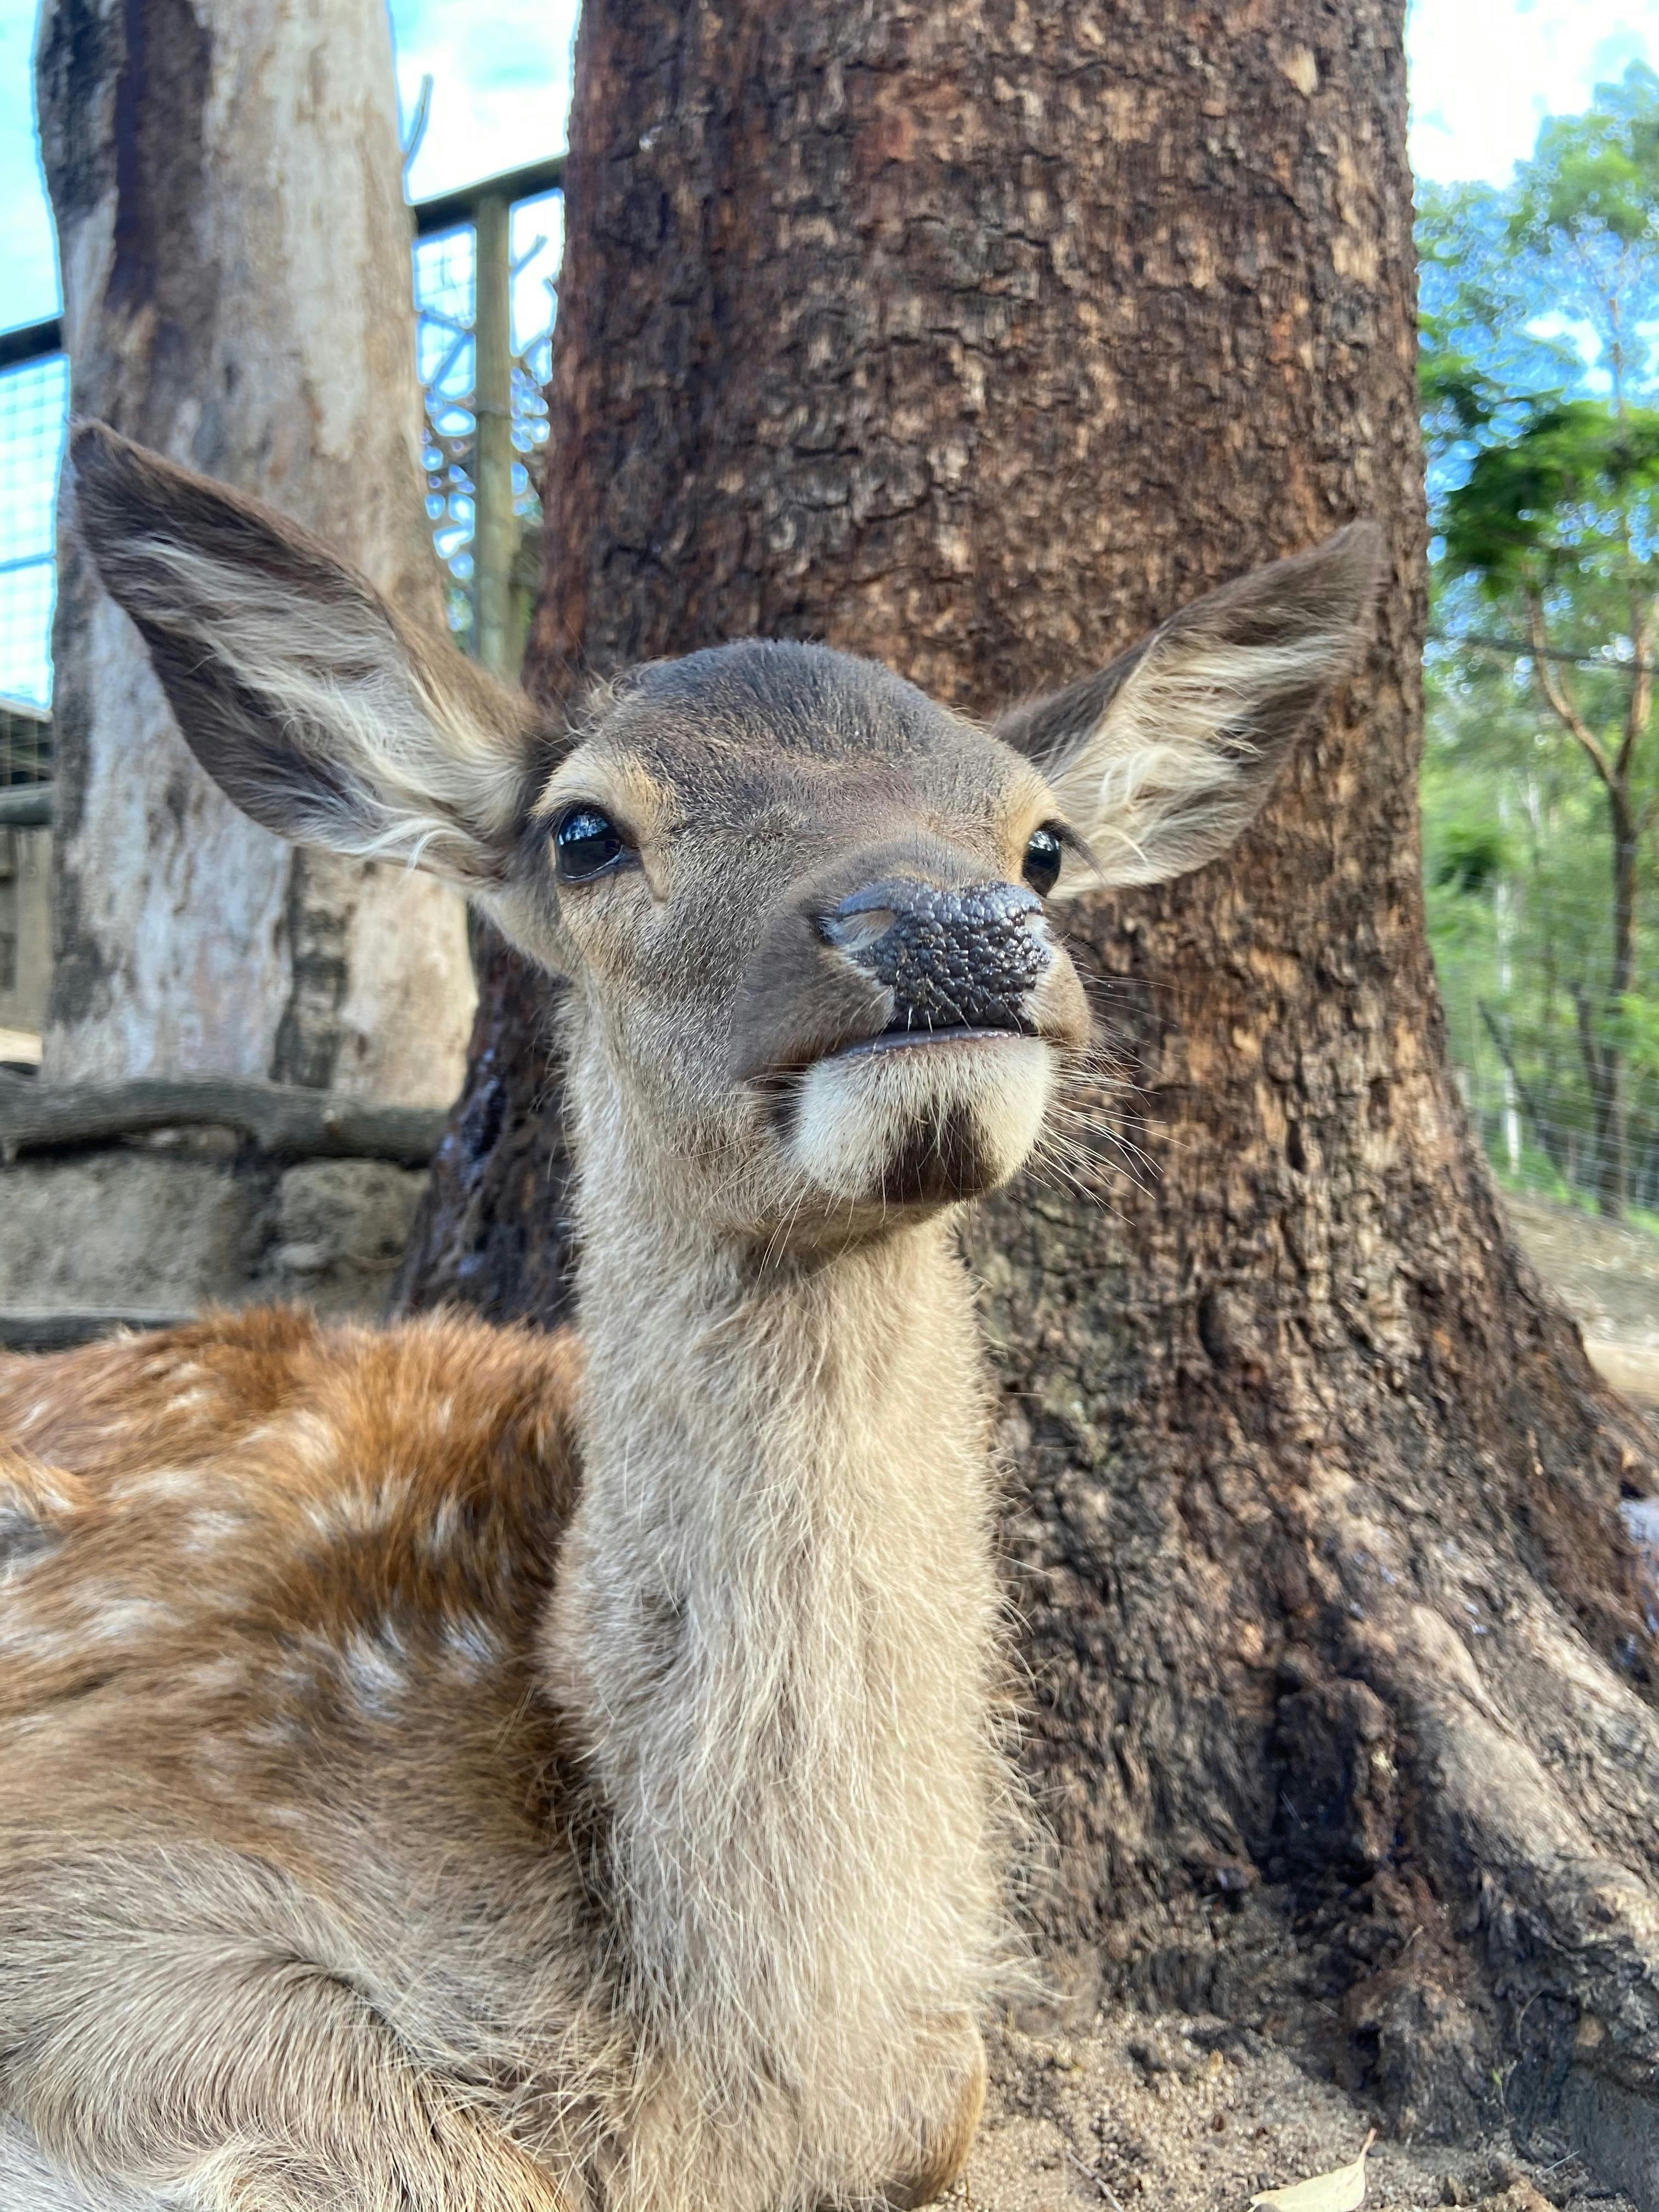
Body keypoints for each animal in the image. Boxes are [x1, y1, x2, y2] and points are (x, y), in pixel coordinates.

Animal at [0, 423, 1380, 2212]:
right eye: (588, 832)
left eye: (1043, 845)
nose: (951, 929)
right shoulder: (99, 1861)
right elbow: (460, 2168)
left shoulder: (924, 2084)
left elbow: (950, 2096)